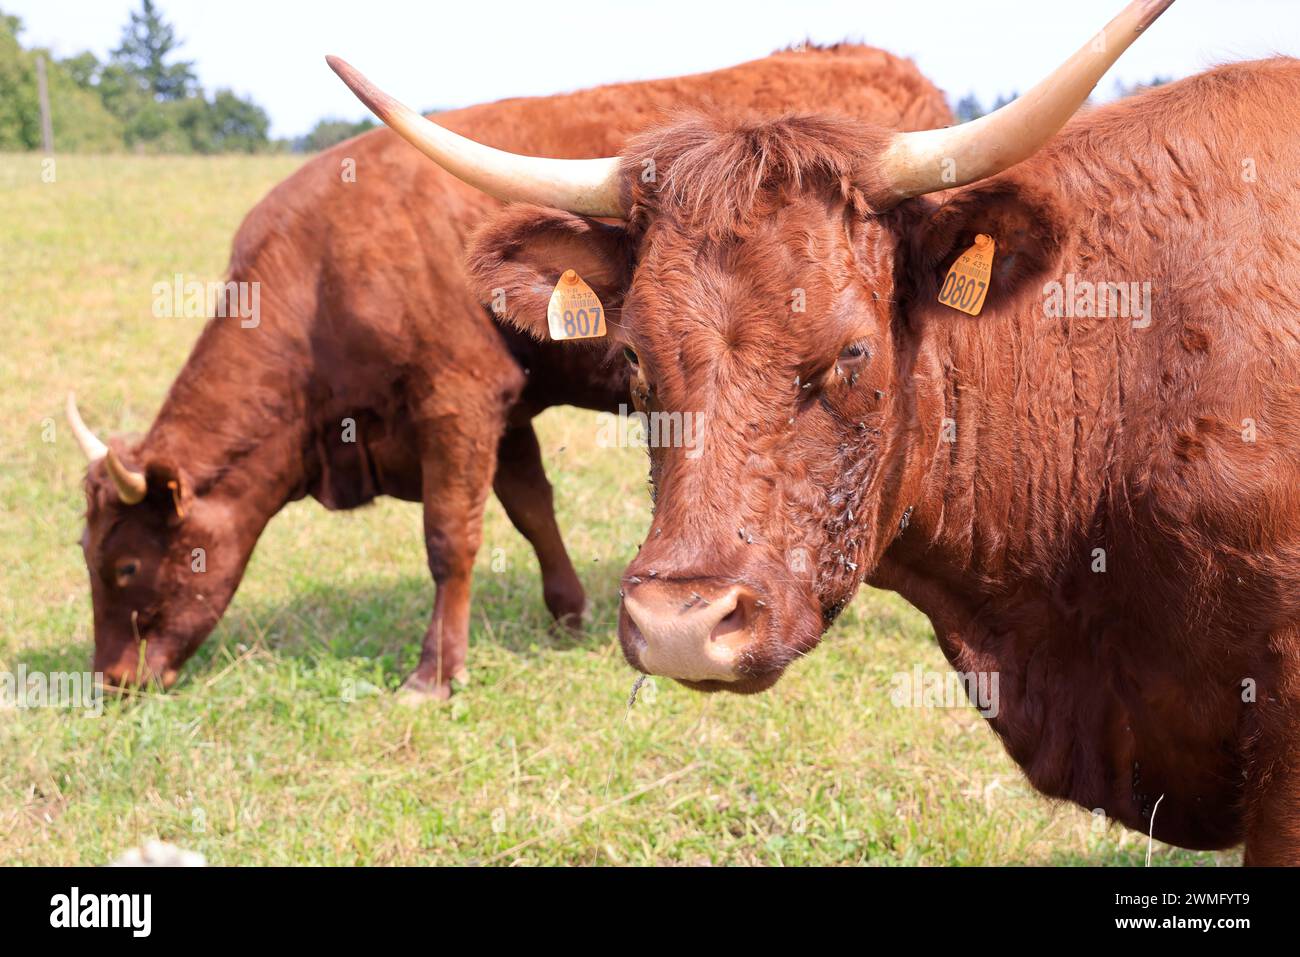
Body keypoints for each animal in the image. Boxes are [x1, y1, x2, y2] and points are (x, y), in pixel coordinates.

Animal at [66, 45, 952, 701]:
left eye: (126, 567)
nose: (111, 680)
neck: (321, 277)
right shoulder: (507, 407)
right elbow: (531, 508)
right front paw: (567, 614)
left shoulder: (454, 401)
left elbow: (450, 537)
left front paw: (433, 673)